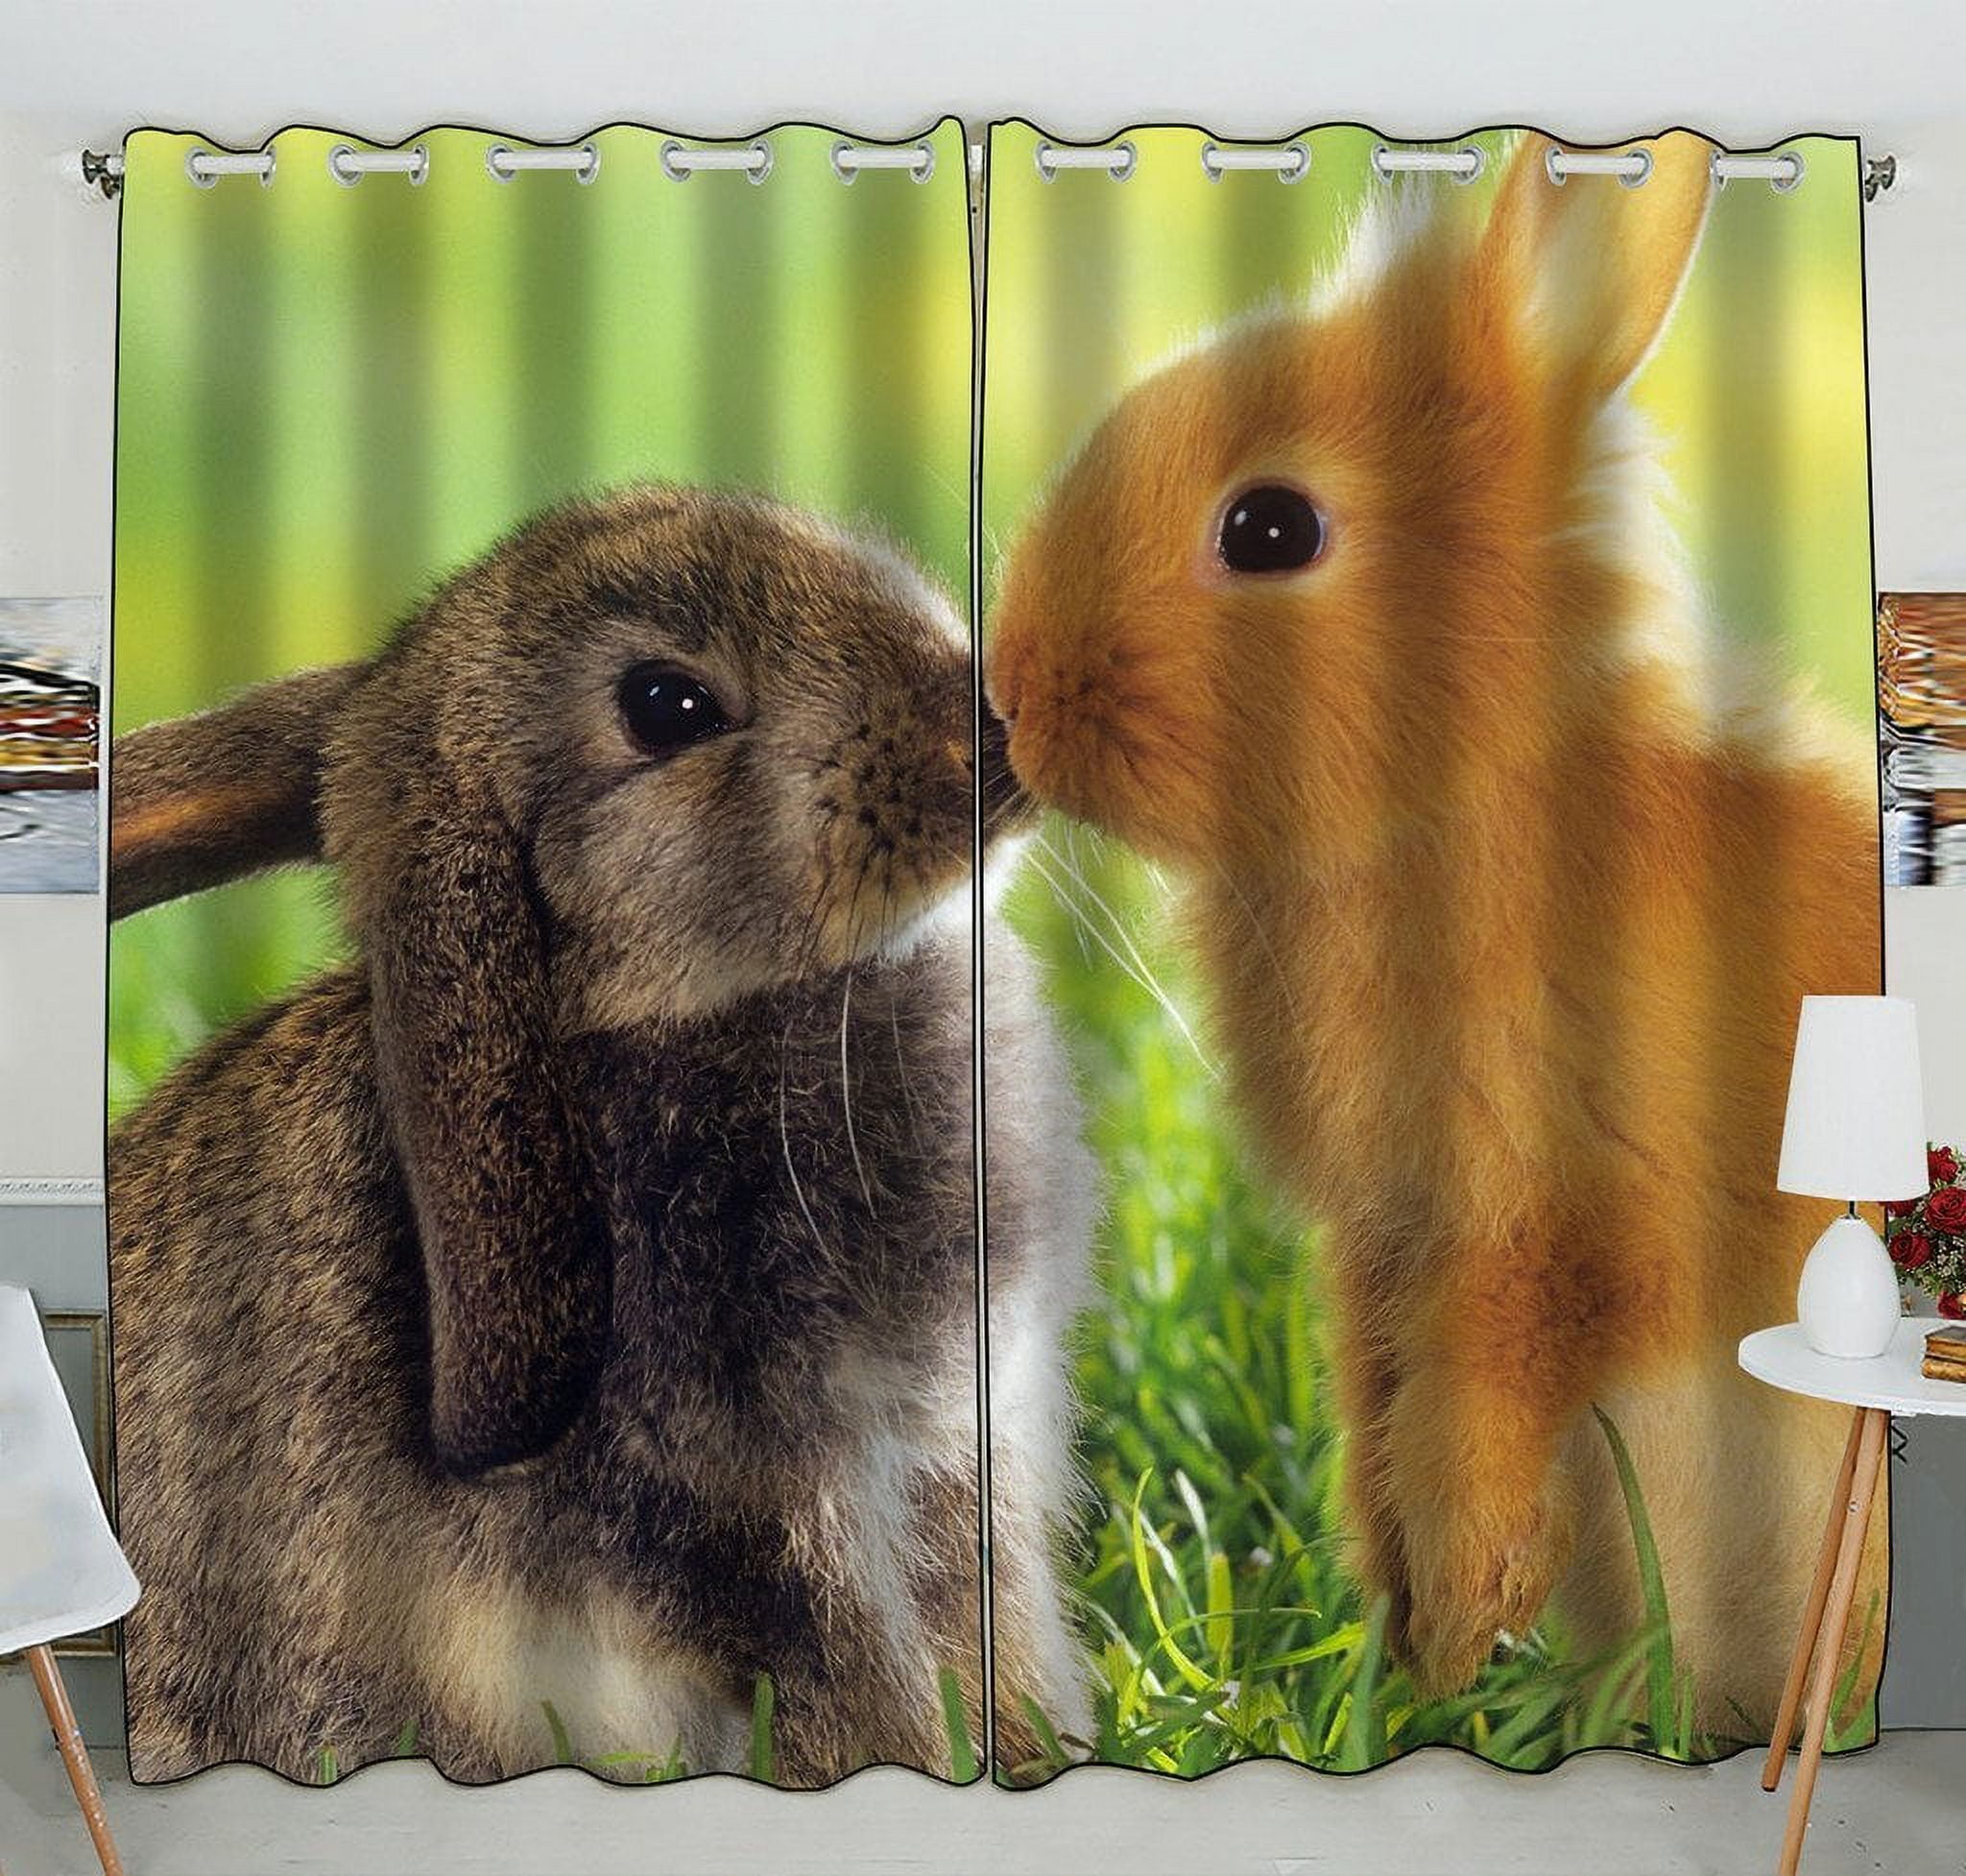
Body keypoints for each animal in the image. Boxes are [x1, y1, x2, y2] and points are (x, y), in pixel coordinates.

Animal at [987, 130, 1885, 1733]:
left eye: (1269, 528)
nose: (1010, 688)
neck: (1468, 803)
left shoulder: (1551, 1233)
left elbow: (1481, 1408)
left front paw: (1463, 1625)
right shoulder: (1387, 1245)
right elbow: (1383, 1418)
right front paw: (1417, 1649)